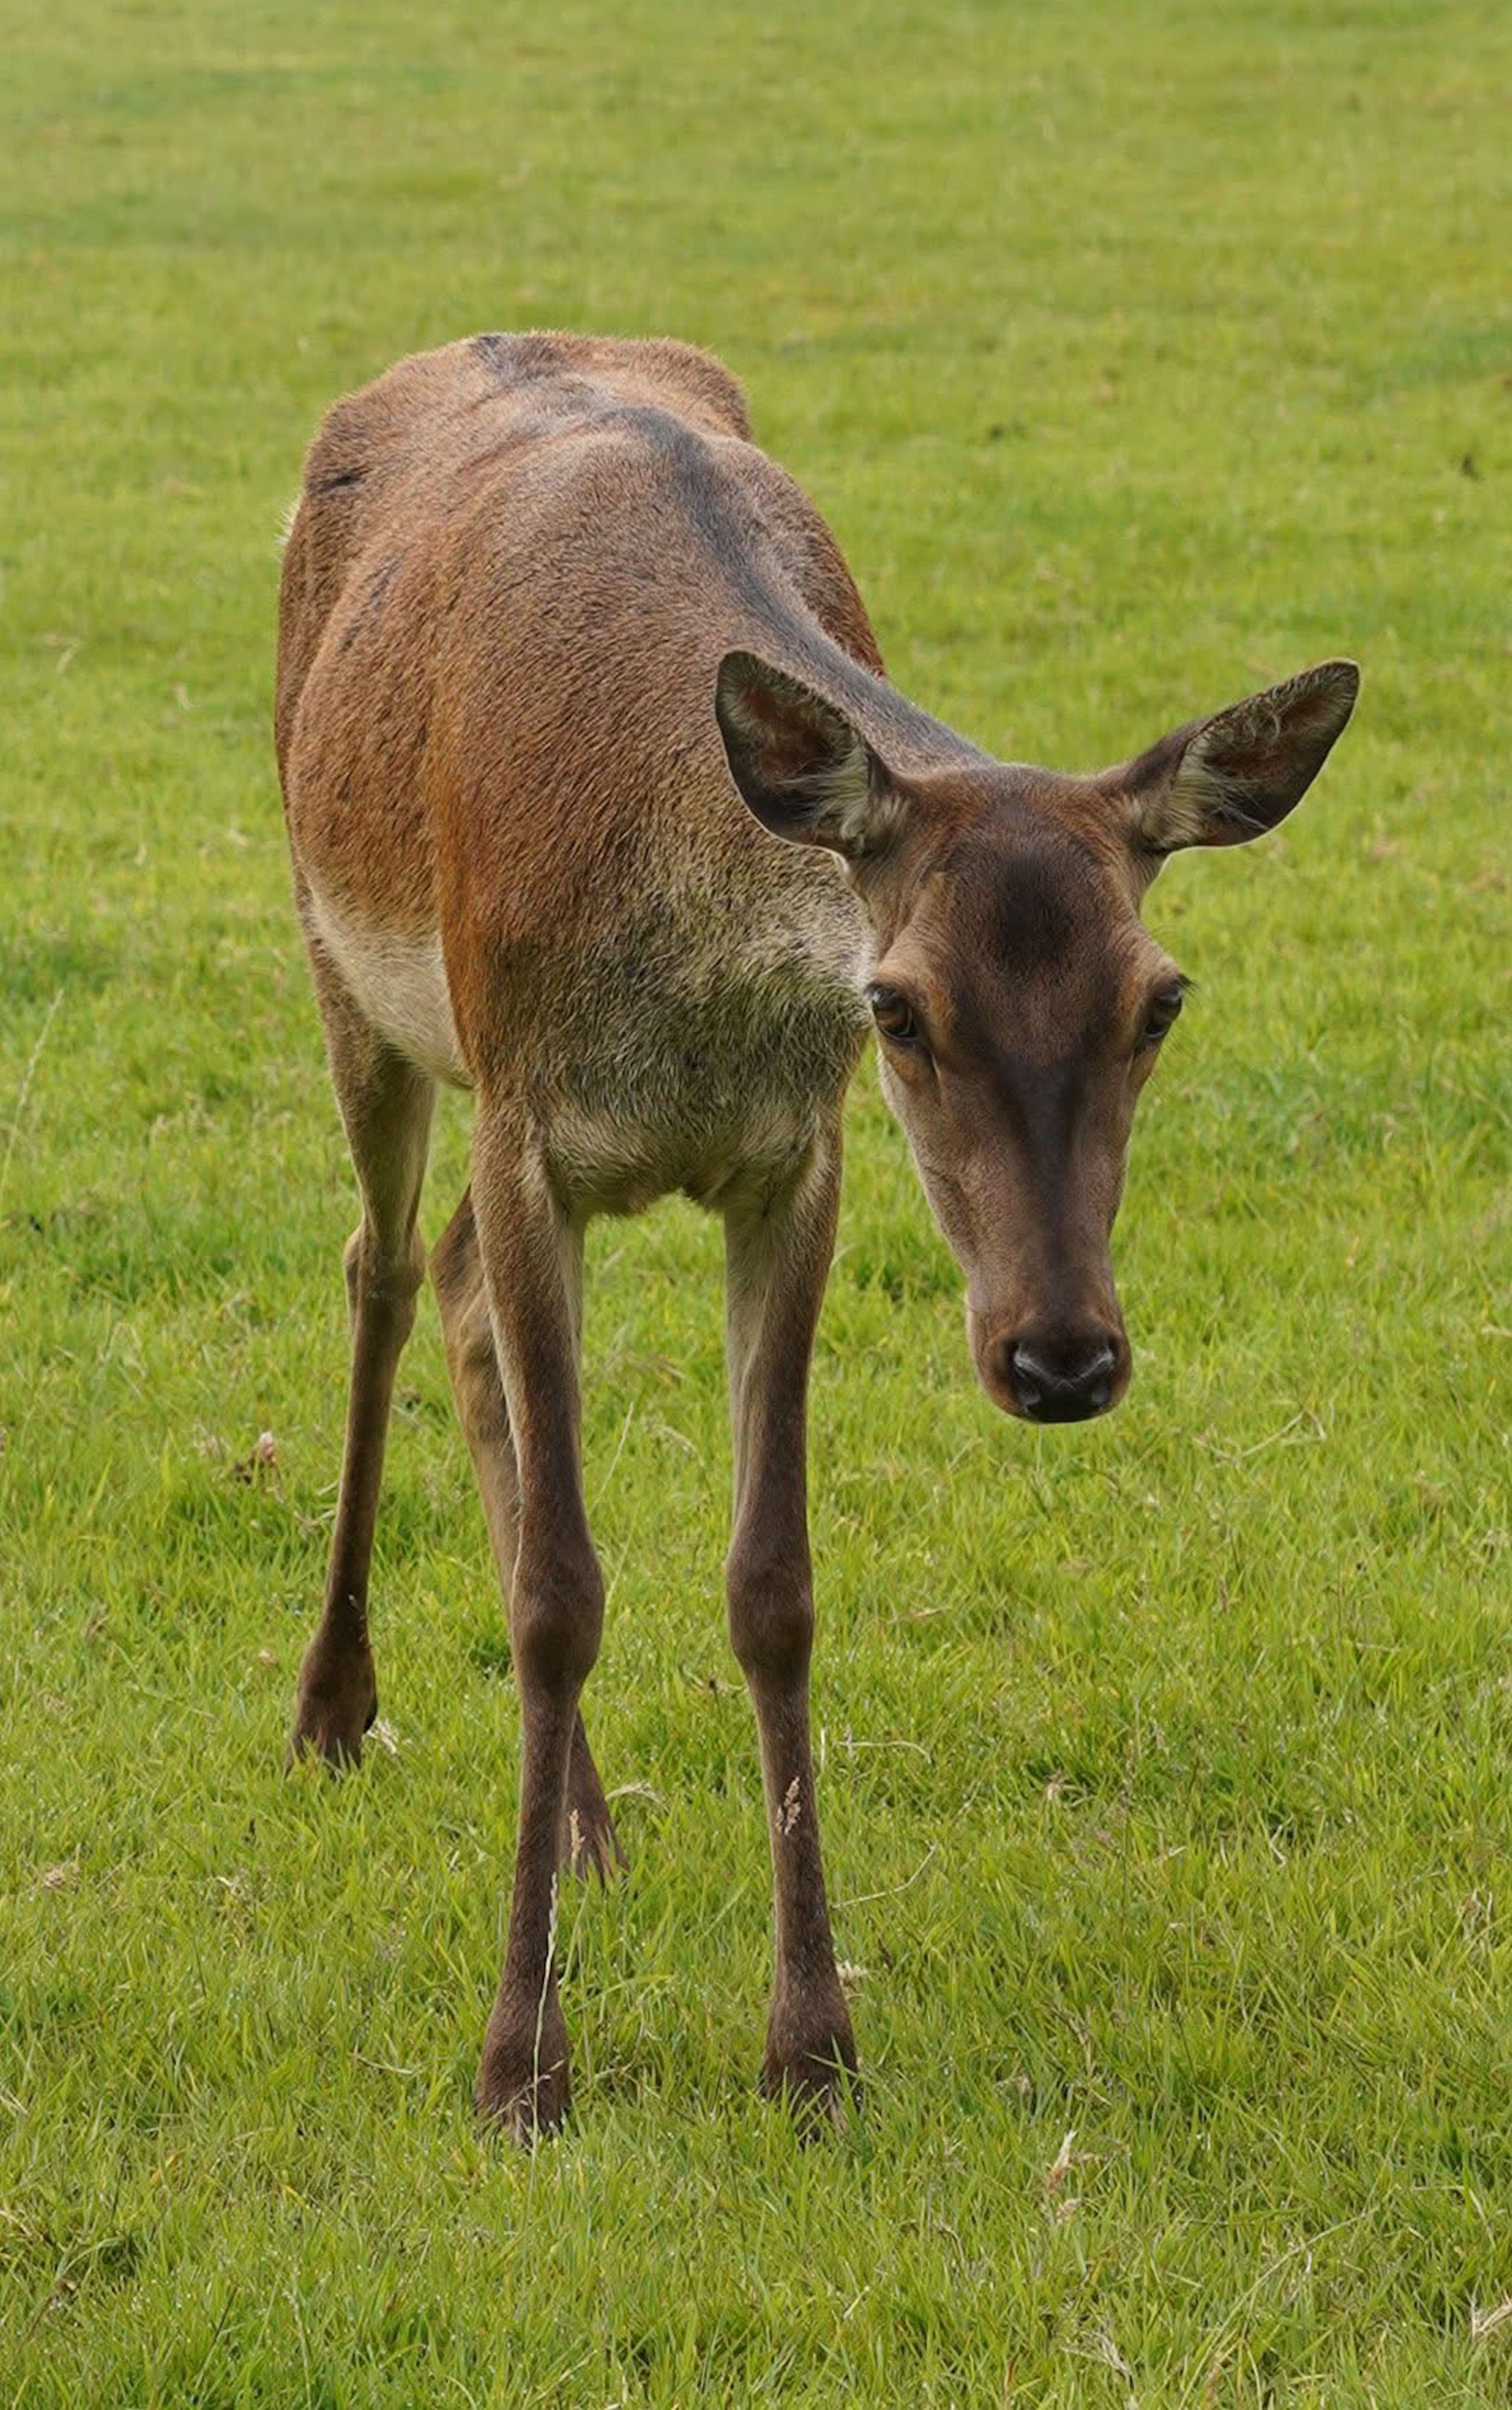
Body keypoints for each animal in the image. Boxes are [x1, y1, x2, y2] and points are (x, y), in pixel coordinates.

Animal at [275, 330, 1358, 2140]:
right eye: (898, 1006)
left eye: (1159, 999)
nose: (1058, 1354)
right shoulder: (527, 1120)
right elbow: (559, 1593)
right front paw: (521, 2065)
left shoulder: (796, 1165)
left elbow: (771, 1585)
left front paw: (811, 2050)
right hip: (350, 969)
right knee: (381, 1271)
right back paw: (334, 1710)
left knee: (455, 1291)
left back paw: (591, 1821)